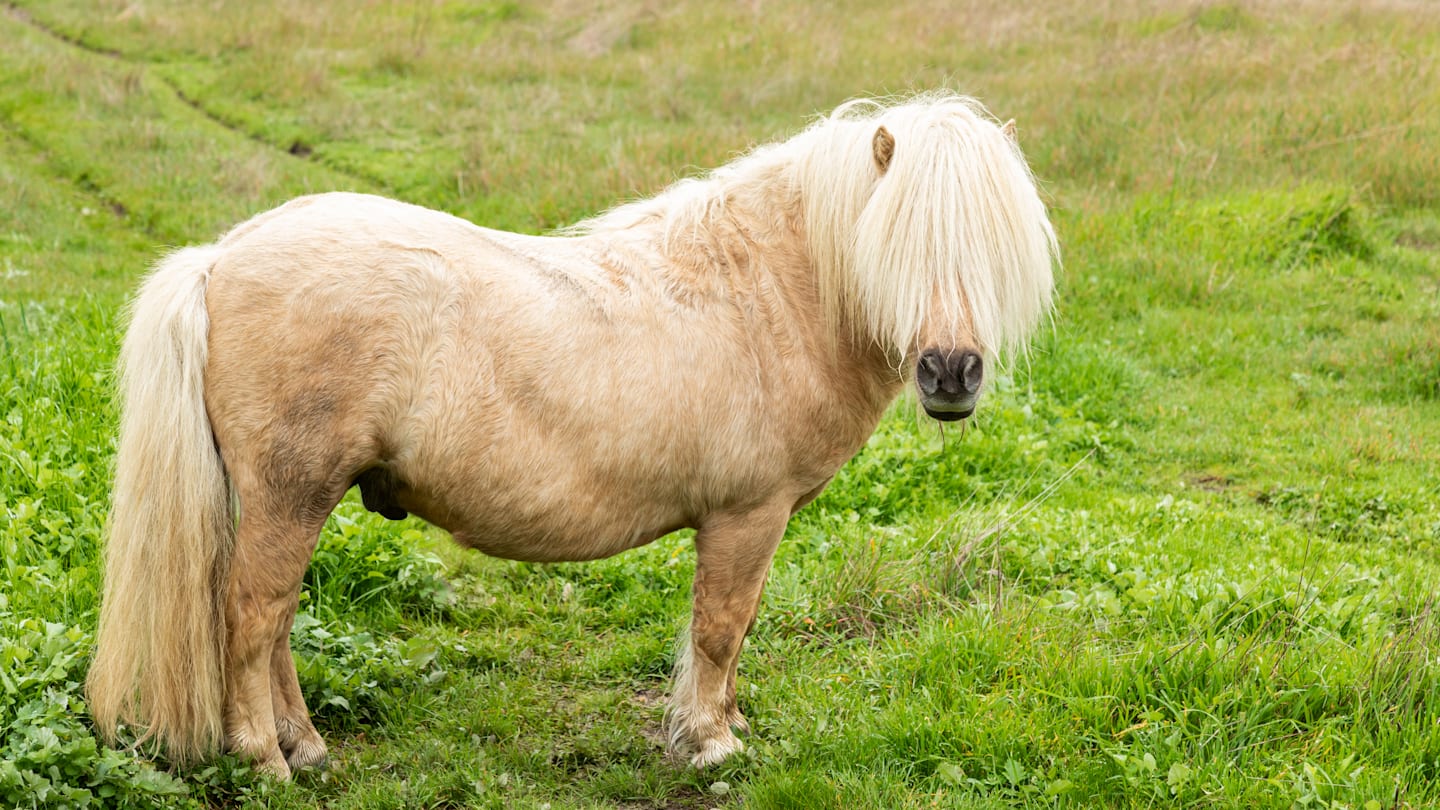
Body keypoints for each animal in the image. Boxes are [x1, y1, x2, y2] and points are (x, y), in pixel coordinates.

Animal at [86, 93, 1057, 778]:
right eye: (897, 244)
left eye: (992, 247)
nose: (950, 374)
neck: (765, 293)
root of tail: (219, 259)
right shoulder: (747, 517)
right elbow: (720, 627)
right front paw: (710, 742)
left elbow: (737, 630)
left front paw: (730, 721)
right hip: (291, 495)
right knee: (252, 617)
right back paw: (264, 757)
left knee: (277, 622)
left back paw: (305, 746)